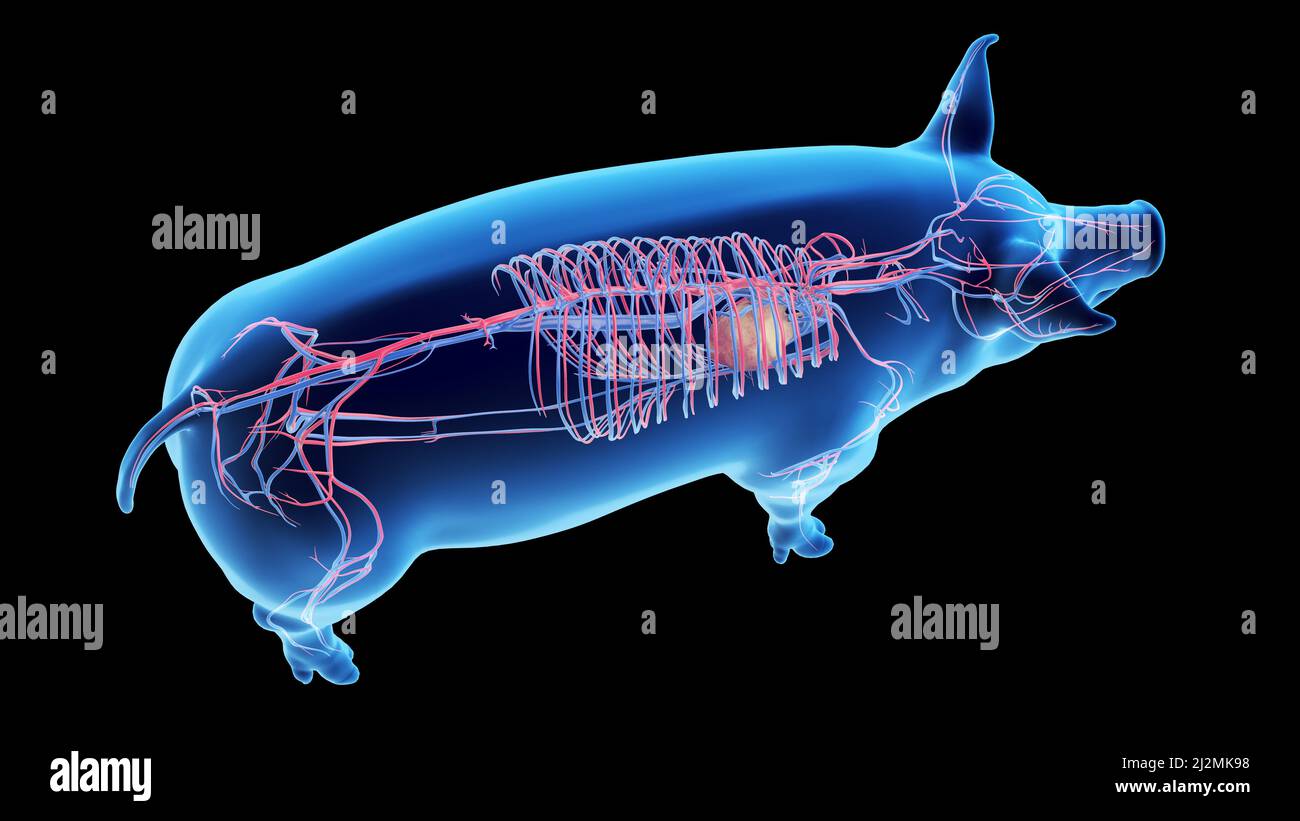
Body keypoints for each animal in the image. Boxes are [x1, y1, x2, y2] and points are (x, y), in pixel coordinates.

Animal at [117, 34, 1164, 683]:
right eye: (1026, 280)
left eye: (1036, 199)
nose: (1146, 224)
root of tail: (195, 396)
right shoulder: (826, 425)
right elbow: (790, 491)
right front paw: (813, 548)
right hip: (329, 530)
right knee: (289, 606)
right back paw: (336, 667)